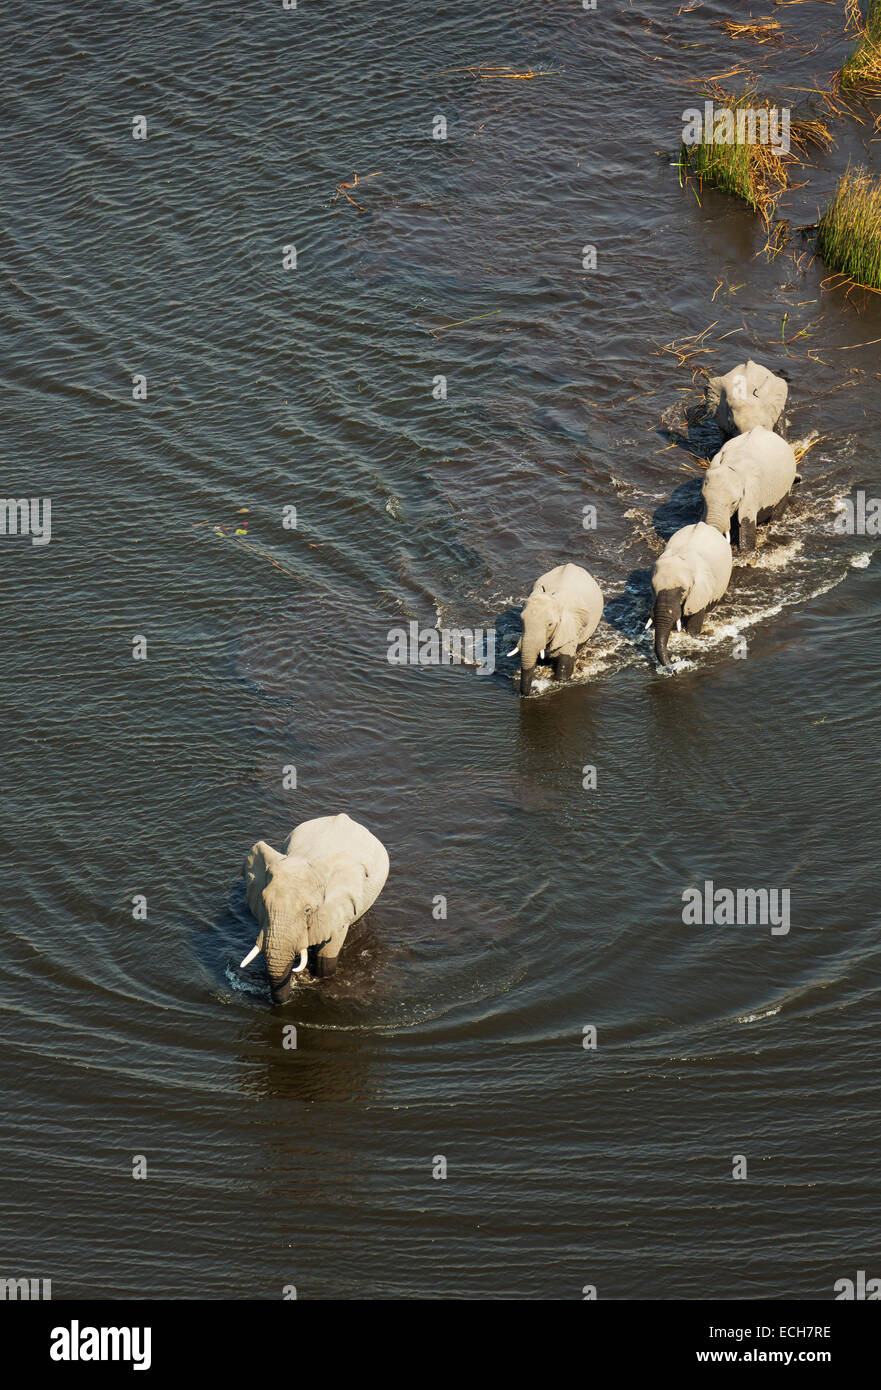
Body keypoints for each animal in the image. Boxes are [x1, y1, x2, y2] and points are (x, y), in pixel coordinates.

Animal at [510, 562, 604, 696]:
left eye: (550, 625)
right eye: (521, 620)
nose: (531, 691)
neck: (554, 599)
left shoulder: (572, 626)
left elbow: (564, 667)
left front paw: (559, 679)